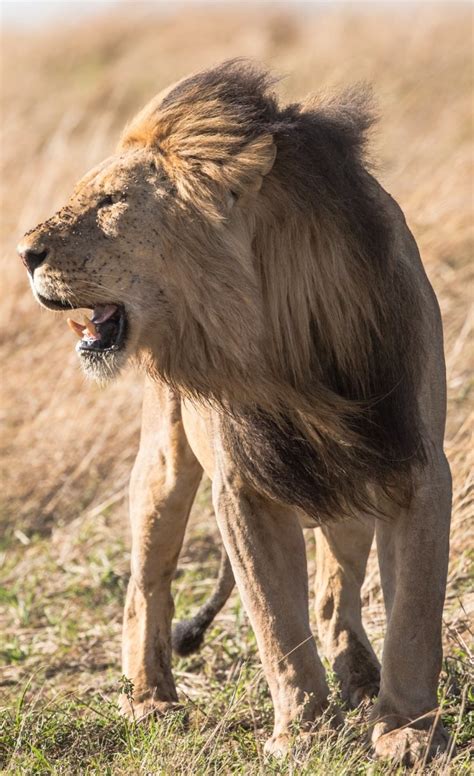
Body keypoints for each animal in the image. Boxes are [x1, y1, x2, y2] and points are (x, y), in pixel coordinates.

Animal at [18, 60, 452, 765]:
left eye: (111, 202)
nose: (23, 253)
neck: (282, 341)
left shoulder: (411, 463)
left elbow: (414, 613)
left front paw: (408, 733)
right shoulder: (243, 487)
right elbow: (277, 623)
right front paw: (302, 735)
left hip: (349, 487)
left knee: (334, 592)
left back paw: (361, 675)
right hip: (164, 462)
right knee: (146, 583)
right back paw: (151, 700)